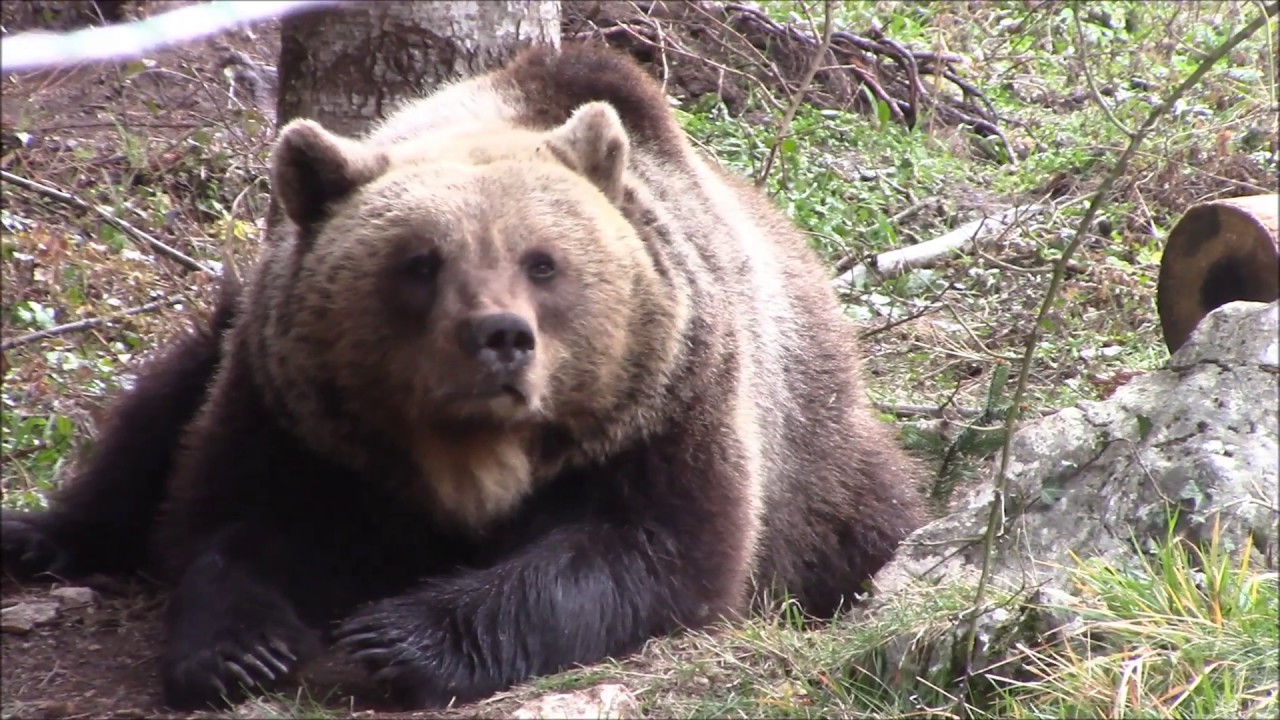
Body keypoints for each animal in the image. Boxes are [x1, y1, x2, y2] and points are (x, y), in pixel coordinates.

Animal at [1, 42, 927, 711]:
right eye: (421, 262)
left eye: (542, 262)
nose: (500, 337)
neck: (472, 456)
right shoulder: (294, 414)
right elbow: (230, 520)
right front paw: (240, 649)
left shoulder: (672, 407)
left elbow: (644, 553)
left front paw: (396, 639)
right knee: (148, 424)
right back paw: (39, 536)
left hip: (825, 464)